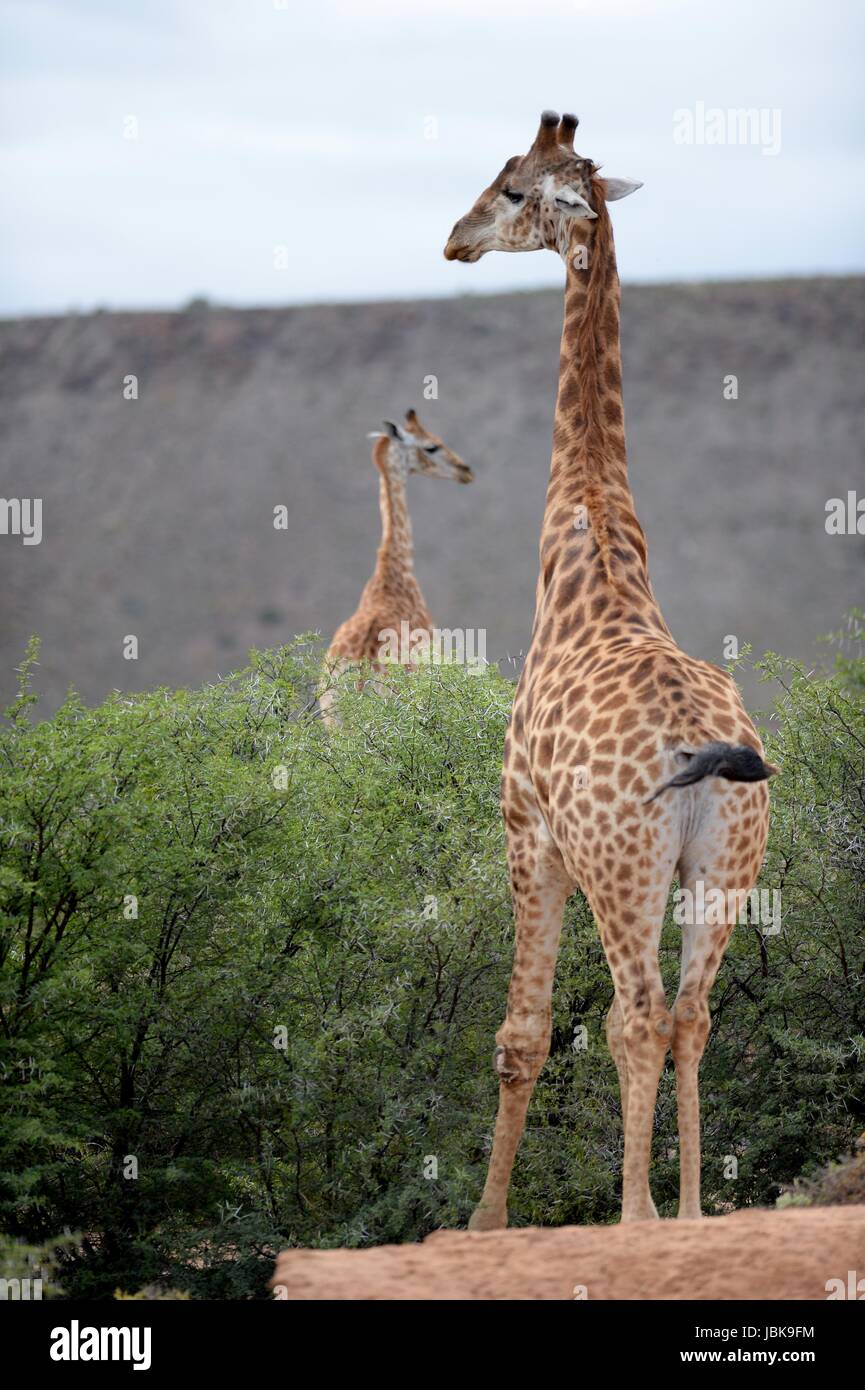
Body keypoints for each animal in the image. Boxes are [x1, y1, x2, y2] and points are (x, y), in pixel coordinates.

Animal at [444, 112, 776, 1226]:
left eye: (511, 189)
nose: (454, 239)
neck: (587, 557)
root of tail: (705, 753)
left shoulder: (526, 826)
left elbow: (522, 1034)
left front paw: (480, 1221)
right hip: (726, 863)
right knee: (694, 1010)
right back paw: (689, 1215)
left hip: (619, 863)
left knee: (636, 1012)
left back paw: (634, 1215)